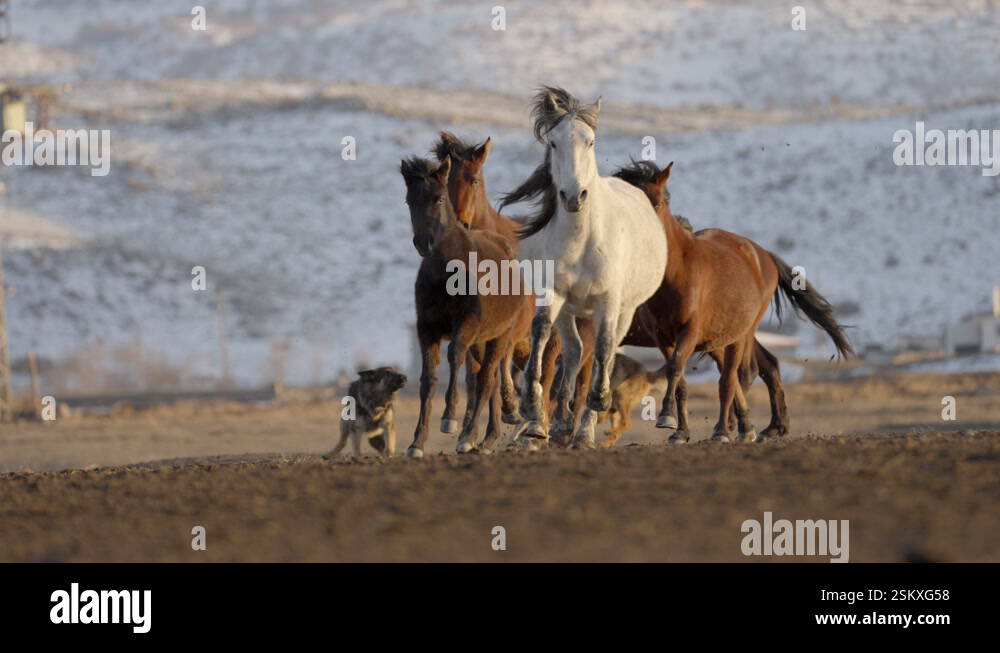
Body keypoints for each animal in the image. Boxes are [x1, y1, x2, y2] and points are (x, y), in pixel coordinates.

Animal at [401, 155, 535, 456]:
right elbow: (428, 379)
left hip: (500, 336)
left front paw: (449, 419)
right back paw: (485, 437)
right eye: (409, 201)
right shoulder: (426, 329)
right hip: (482, 341)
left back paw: (471, 437)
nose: (423, 243)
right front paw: (416, 443)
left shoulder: (466, 323)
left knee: (486, 378)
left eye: (439, 198)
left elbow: (454, 355)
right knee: (491, 379)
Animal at [499, 86, 669, 449]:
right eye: (553, 143)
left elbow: (603, 347)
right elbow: (541, 332)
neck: (582, 237)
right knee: (574, 351)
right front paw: (531, 407)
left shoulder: (610, 299)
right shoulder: (554, 291)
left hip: (626, 309)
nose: (574, 196)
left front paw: (597, 405)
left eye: (590, 141)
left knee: (603, 351)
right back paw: (561, 423)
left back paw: (582, 431)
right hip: (570, 308)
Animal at [612, 159, 853, 442]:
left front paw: (667, 417)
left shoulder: (689, 330)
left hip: (741, 334)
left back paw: (725, 430)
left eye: (658, 203)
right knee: (757, 368)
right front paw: (680, 431)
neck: (677, 273)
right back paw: (766, 427)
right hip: (719, 338)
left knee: (734, 378)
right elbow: (678, 376)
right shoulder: (662, 335)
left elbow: (676, 369)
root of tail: (762, 254)